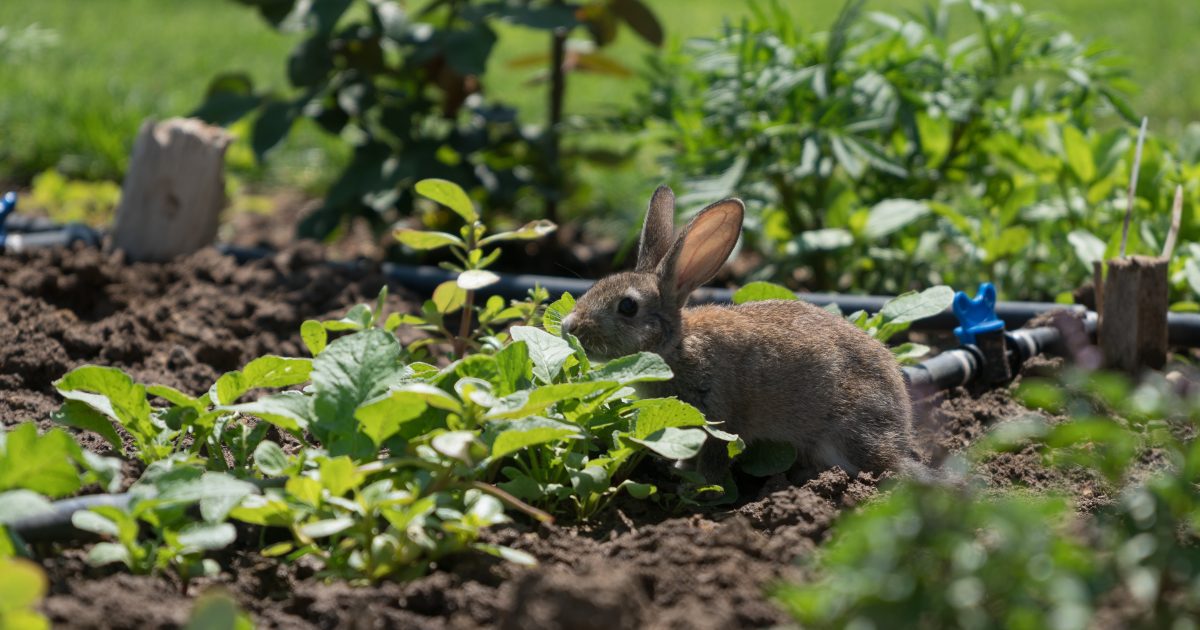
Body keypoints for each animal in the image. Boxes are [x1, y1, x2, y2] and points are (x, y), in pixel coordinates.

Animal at [561, 185, 917, 483]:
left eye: (628, 307)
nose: (569, 326)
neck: (676, 347)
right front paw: (679, 469)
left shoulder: (720, 418)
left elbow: (715, 456)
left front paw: (699, 485)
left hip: (842, 433)